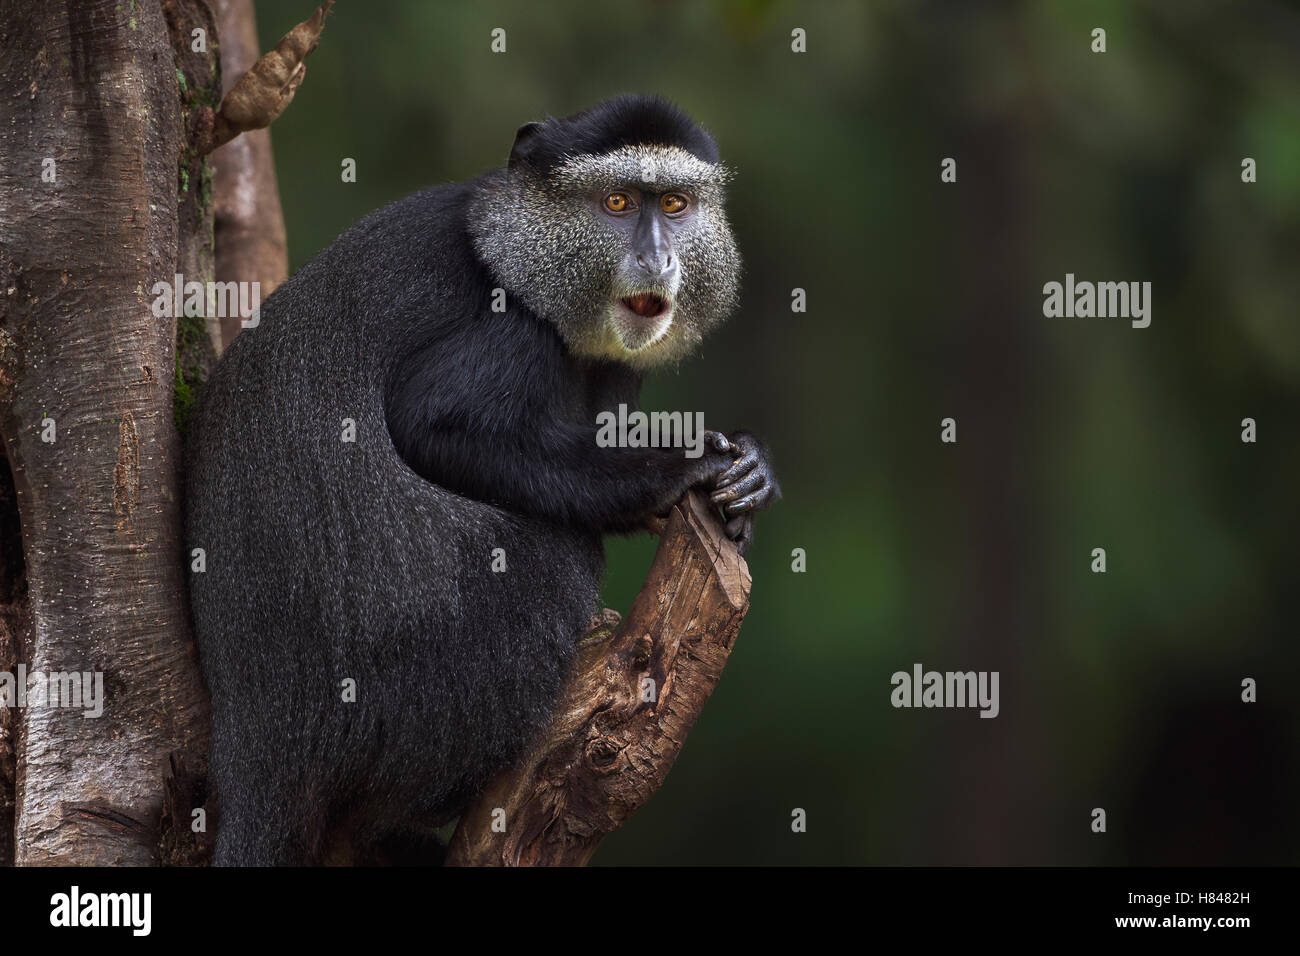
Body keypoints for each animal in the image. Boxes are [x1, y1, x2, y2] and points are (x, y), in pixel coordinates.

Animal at [184, 94, 779, 865]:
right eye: (616, 203)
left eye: (674, 205)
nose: (657, 257)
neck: (515, 243)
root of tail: (256, 746)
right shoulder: (509, 325)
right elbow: (436, 426)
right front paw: (677, 472)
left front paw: (751, 472)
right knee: (557, 555)